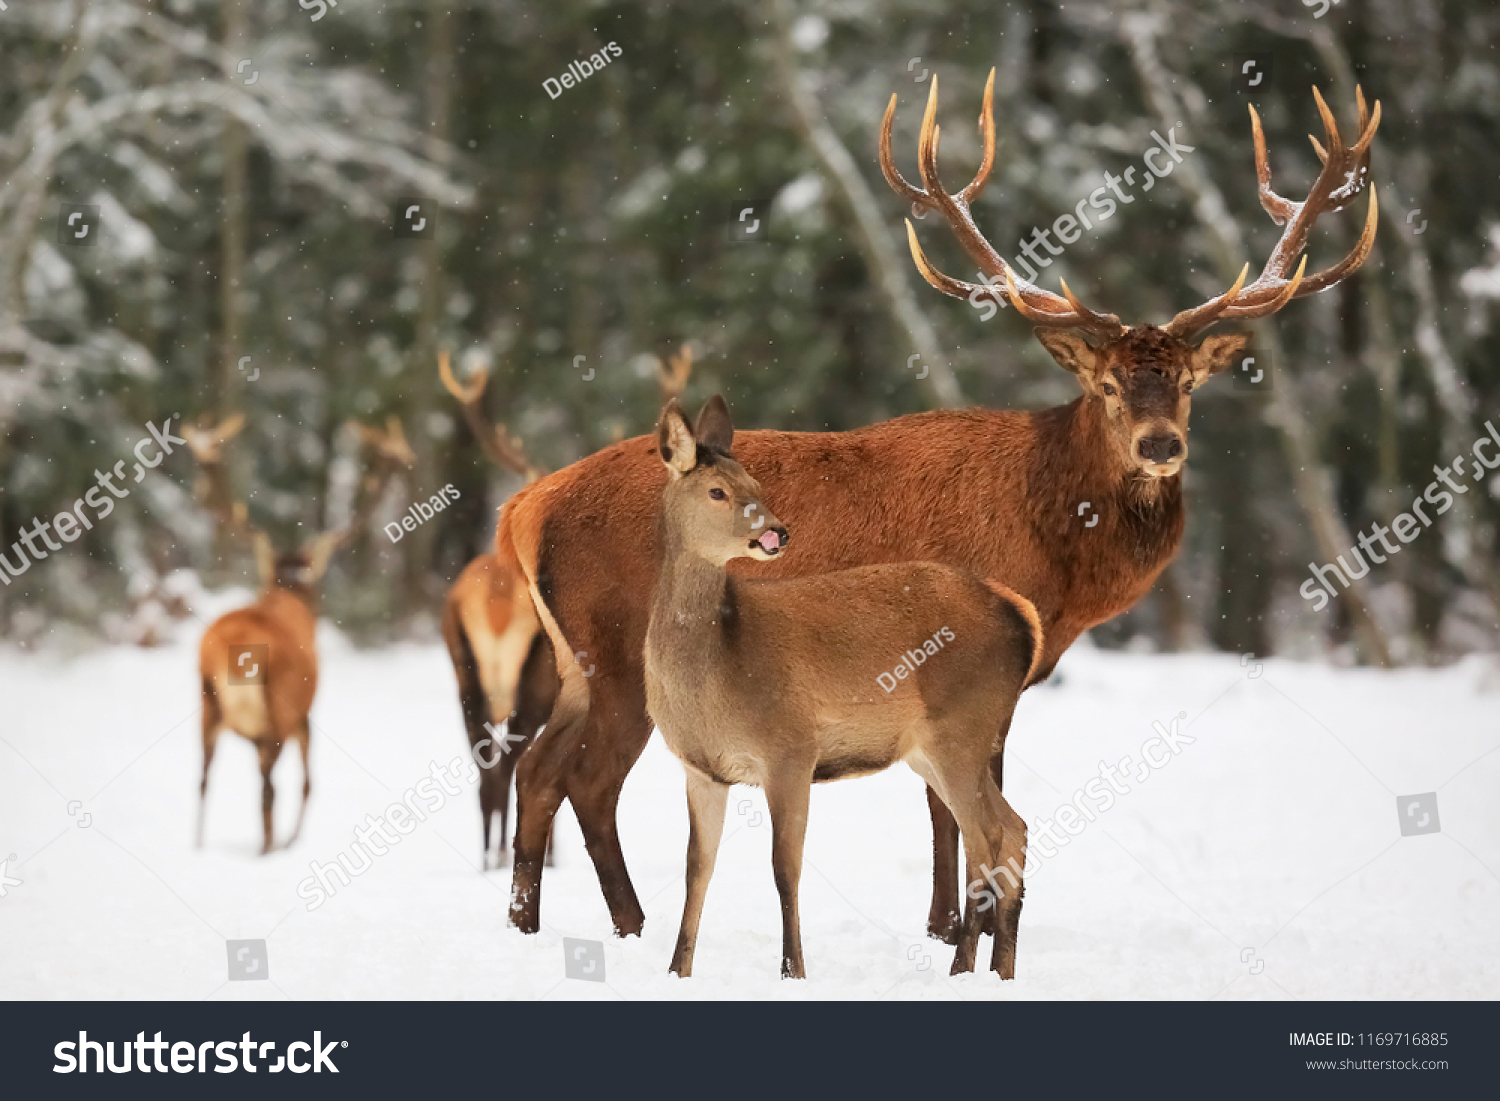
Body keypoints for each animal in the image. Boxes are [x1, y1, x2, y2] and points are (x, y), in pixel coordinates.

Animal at [191, 414, 414, 855]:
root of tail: (234, 654)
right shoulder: (305, 712)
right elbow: (310, 783)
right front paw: (292, 840)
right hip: (279, 714)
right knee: (270, 791)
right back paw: (270, 848)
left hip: (208, 704)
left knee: (204, 781)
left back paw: (201, 846)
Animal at [439, 345, 694, 867]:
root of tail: (494, 601)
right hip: (541, 673)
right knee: (515, 762)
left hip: (466, 669)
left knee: (488, 767)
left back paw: (490, 855)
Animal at [646, 396, 1041, 978]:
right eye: (717, 491)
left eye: (756, 484)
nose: (778, 533)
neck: (716, 673)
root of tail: (1022, 614)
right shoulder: (702, 769)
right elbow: (699, 868)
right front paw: (677, 971)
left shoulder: (791, 748)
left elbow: (784, 867)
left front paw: (793, 970)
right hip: (934, 747)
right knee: (1011, 830)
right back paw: (998, 971)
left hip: (963, 727)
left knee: (987, 837)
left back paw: (963, 969)